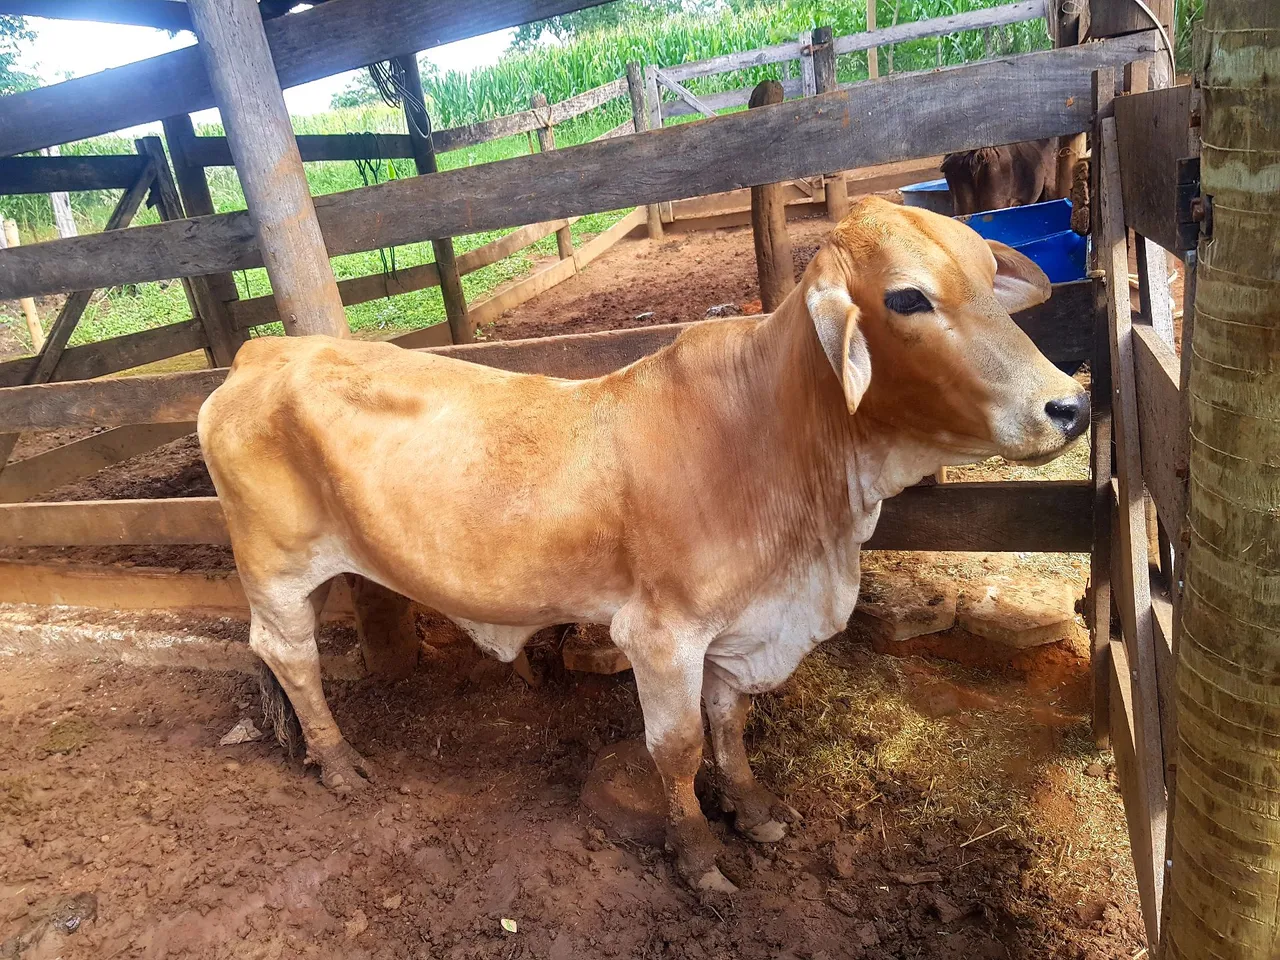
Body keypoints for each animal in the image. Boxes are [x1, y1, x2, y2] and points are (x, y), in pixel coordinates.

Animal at [198, 196, 1087, 895]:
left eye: (988, 276)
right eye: (907, 297)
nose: (1069, 406)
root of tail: (261, 352)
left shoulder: (737, 630)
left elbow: (731, 724)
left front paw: (754, 810)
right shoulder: (661, 636)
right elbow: (679, 748)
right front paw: (697, 854)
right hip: (275, 567)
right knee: (289, 654)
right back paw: (337, 759)